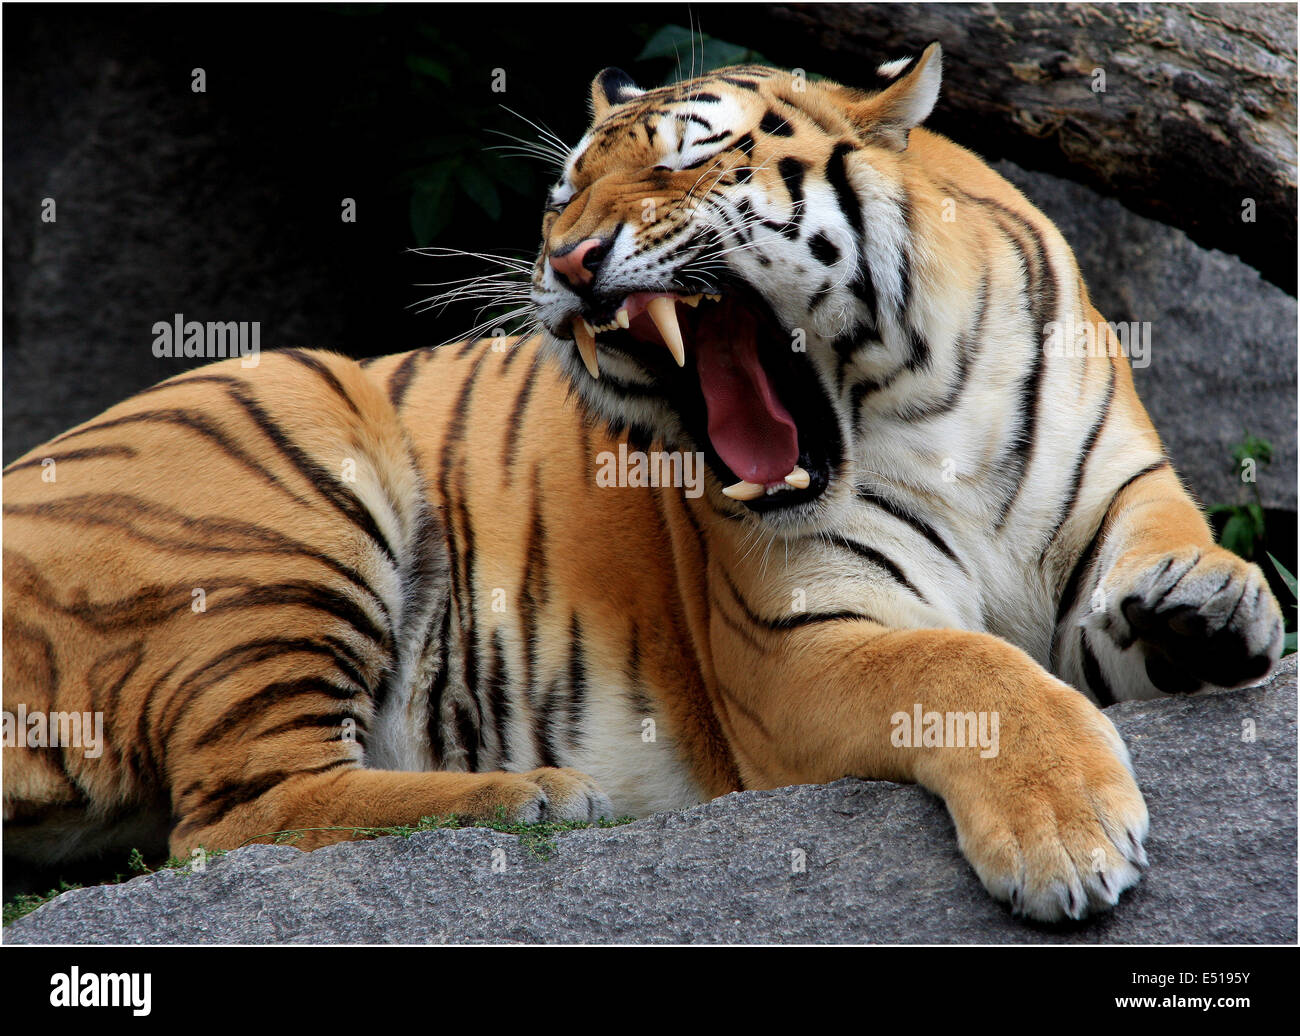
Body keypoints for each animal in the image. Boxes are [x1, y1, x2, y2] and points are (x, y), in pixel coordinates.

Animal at [3, 44, 1285, 924]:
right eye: (563, 194)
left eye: (689, 155)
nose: (567, 261)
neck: (921, 407)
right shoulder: (798, 645)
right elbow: (968, 667)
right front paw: (1068, 835)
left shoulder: (1118, 502)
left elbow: (1176, 567)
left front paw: (1209, 608)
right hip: (287, 457)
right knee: (236, 813)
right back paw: (533, 794)